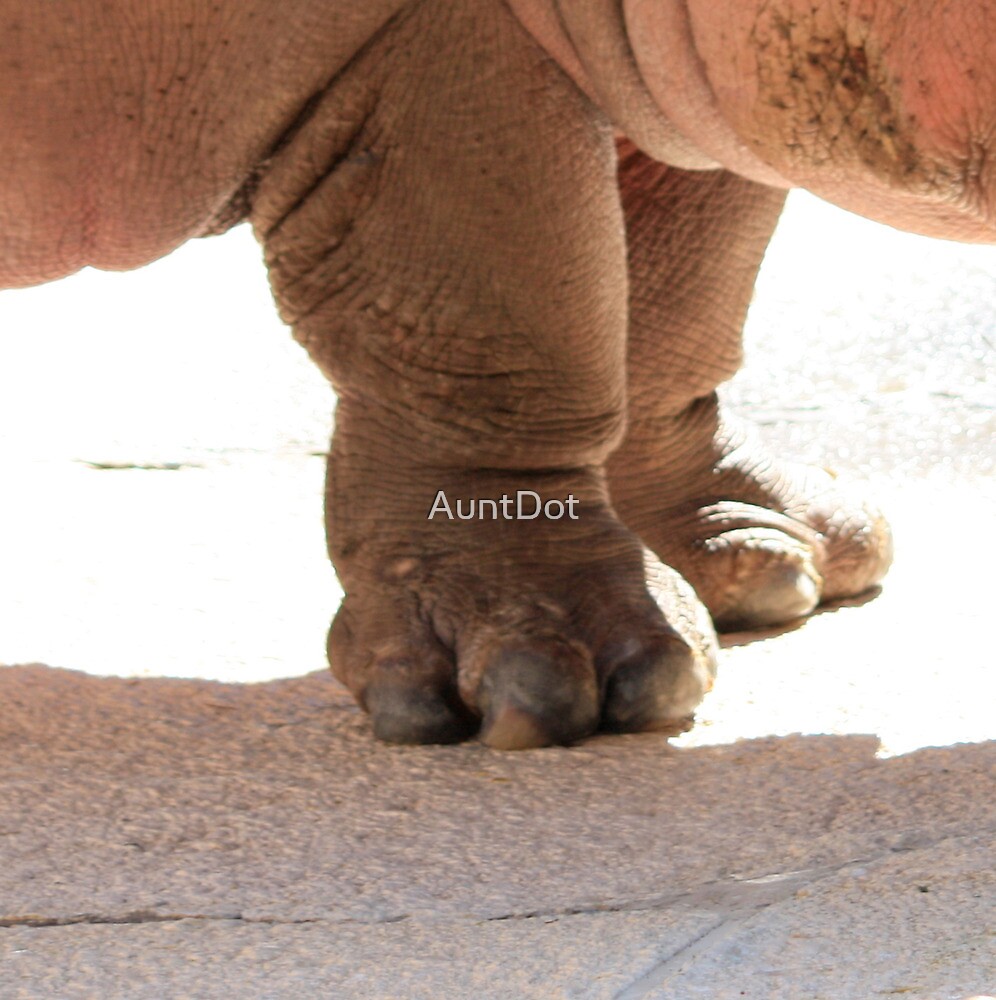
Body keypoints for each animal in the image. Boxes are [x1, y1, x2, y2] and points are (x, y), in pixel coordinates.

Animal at [3, 0, 992, 748]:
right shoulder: (435, 56)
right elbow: (505, 322)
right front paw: (564, 685)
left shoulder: (663, 70)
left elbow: (676, 290)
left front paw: (777, 568)